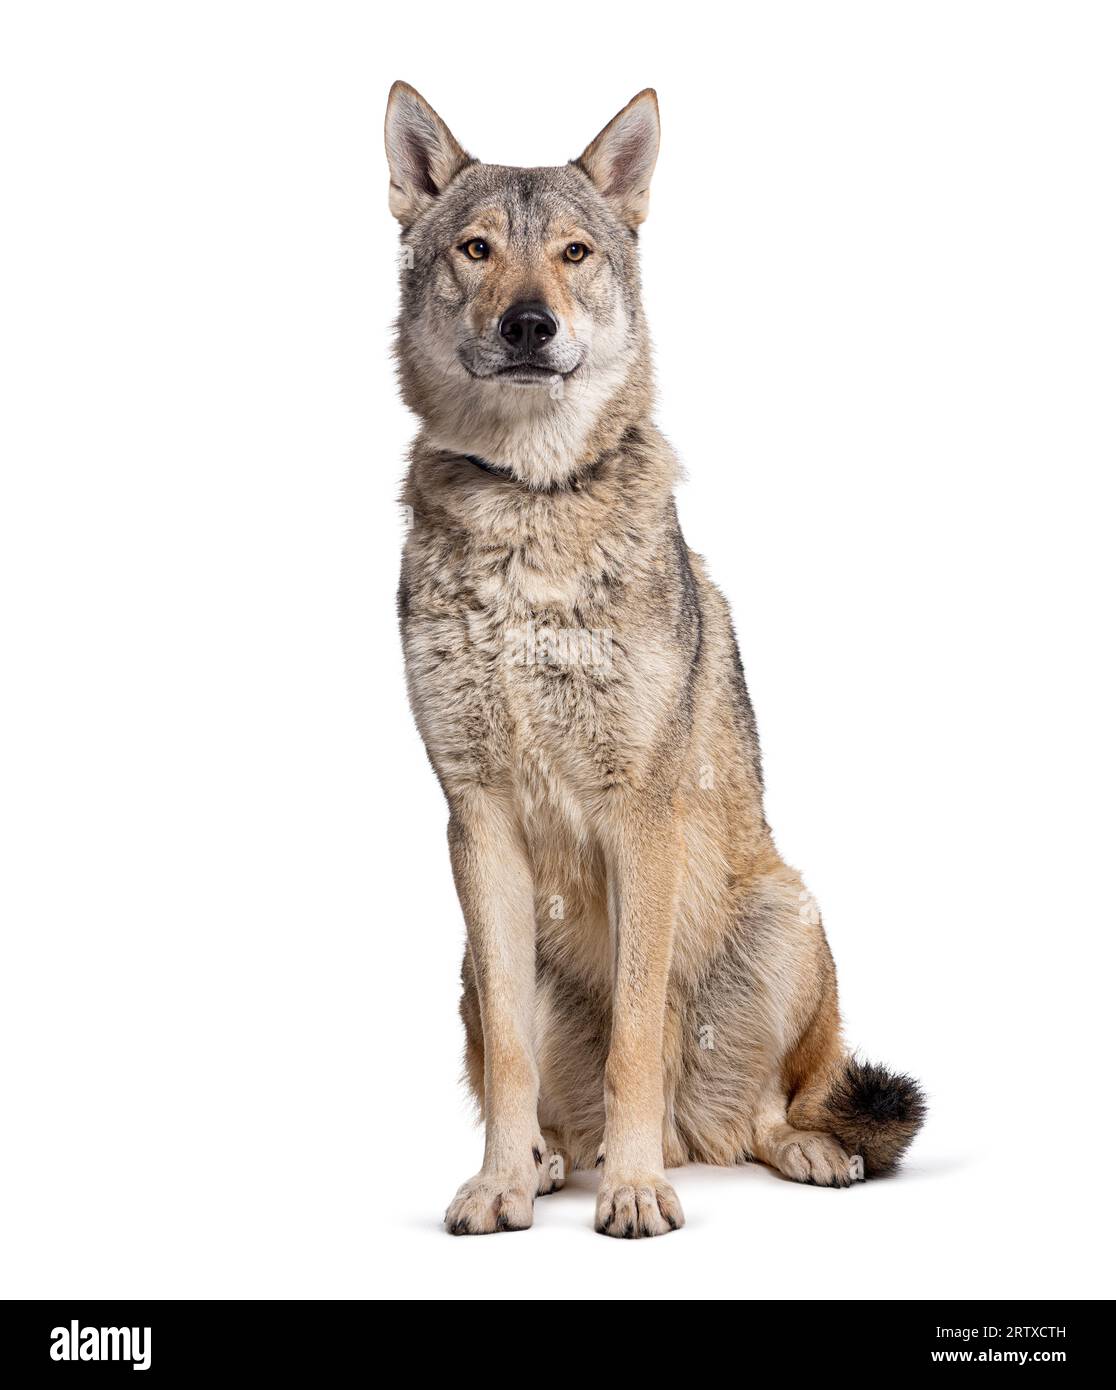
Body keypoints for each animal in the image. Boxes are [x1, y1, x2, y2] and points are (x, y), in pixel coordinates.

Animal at [386, 82, 925, 1237]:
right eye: (476, 249)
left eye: (576, 252)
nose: (529, 323)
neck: (531, 510)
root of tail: (694, 1132)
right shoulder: (476, 815)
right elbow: (510, 1061)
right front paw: (500, 1185)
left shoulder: (642, 812)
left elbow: (639, 1036)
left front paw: (636, 1193)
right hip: (474, 968)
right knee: (557, 1093)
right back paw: (550, 1160)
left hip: (785, 919)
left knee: (765, 1104)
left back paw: (784, 1150)